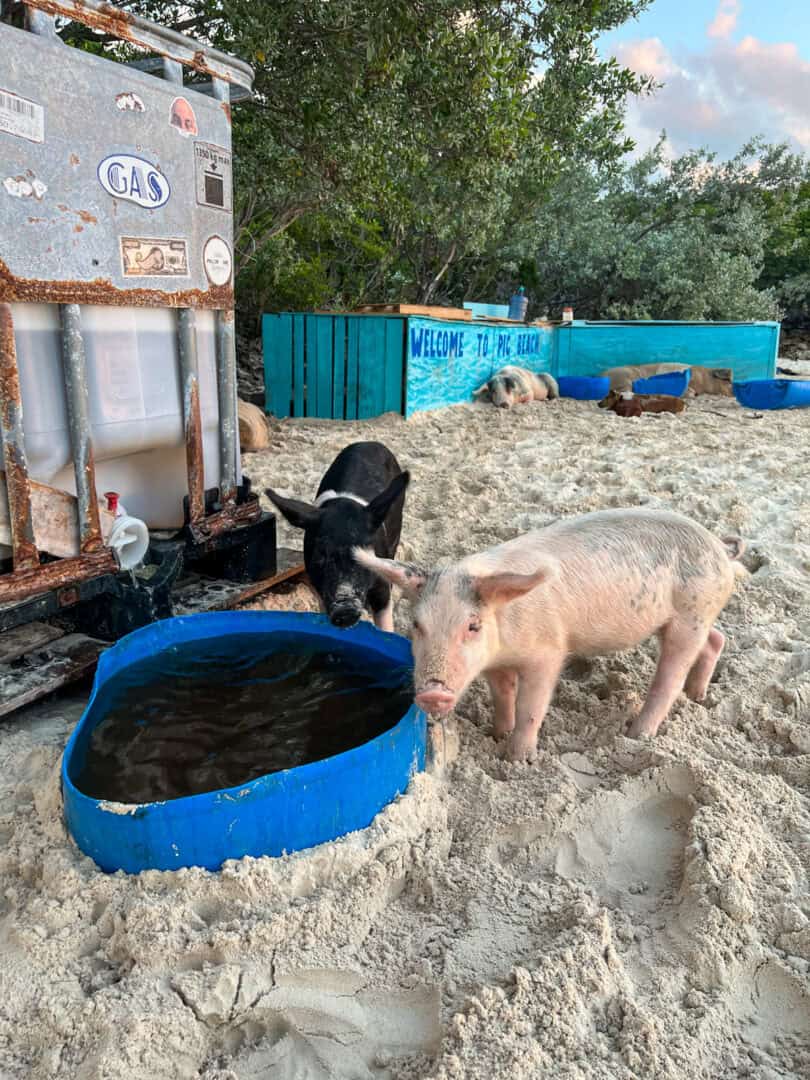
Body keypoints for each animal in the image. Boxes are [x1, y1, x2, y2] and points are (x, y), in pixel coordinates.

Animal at [265, 442, 409, 631]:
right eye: (321, 554)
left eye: (365, 552)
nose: (345, 610)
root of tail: (370, 442)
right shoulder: (318, 585)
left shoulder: (381, 585)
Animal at [356, 508, 746, 761]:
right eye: (416, 625)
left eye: (472, 626)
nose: (433, 693)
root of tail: (719, 546)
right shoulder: (496, 664)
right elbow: (503, 696)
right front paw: (496, 734)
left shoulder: (548, 653)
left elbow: (531, 706)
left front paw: (516, 760)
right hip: (694, 618)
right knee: (715, 641)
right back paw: (698, 696)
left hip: (689, 615)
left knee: (670, 677)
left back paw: (637, 734)